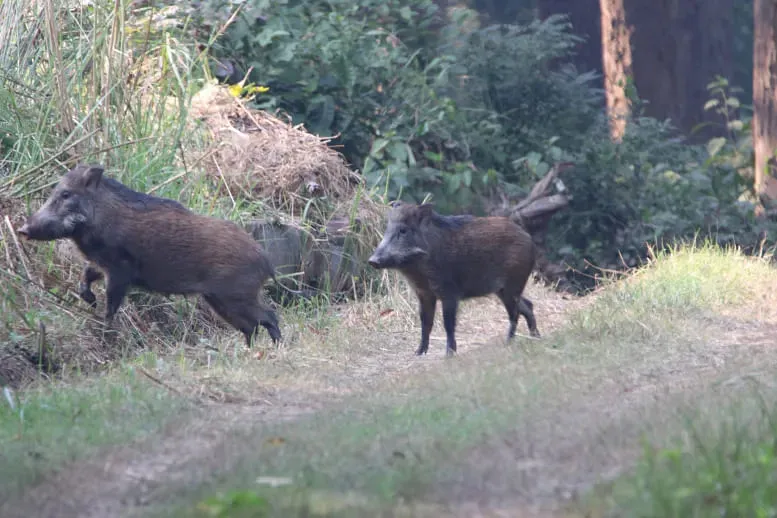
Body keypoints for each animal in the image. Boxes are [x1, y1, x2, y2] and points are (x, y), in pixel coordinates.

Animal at [17, 163, 282, 347]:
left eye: (65, 195)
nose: (22, 230)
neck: (100, 218)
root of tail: (266, 260)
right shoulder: (101, 263)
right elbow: (86, 278)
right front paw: (90, 301)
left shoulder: (120, 270)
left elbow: (111, 304)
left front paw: (104, 329)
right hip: (219, 300)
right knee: (252, 326)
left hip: (235, 296)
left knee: (269, 316)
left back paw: (275, 348)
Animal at [368, 201, 539, 357]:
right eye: (387, 230)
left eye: (403, 230)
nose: (372, 261)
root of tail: (529, 238)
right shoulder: (424, 294)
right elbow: (425, 322)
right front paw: (418, 353)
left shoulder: (449, 293)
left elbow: (448, 323)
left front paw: (449, 355)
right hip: (502, 290)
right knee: (527, 305)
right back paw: (535, 337)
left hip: (512, 285)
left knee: (515, 314)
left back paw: (508, 343)